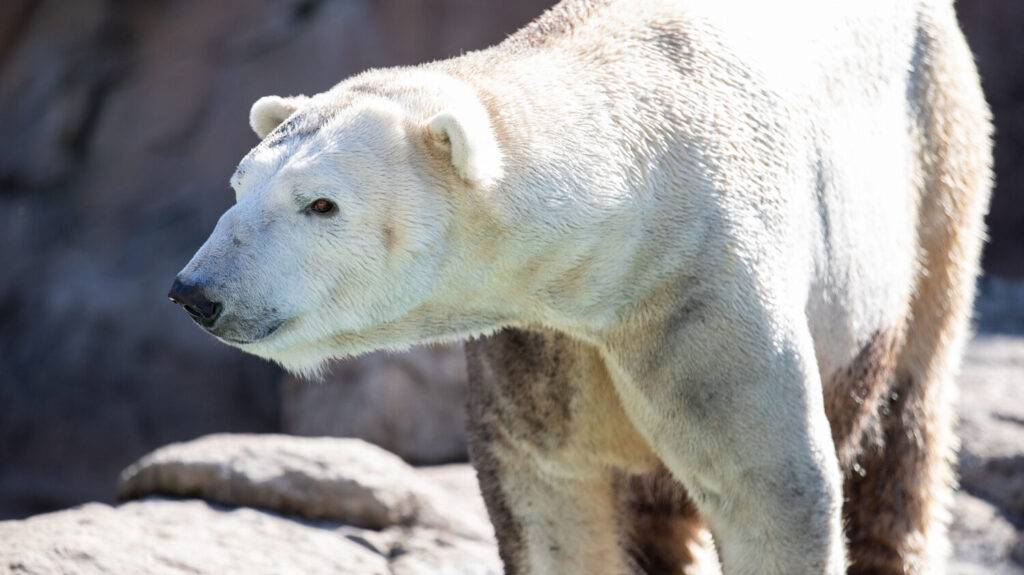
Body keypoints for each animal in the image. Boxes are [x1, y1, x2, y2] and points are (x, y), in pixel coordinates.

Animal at [170, 0, 992, 573]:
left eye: (321, 203)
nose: (196, 292)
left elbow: (771, 485)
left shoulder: (703, 287)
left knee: (903, 434)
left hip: (937, 173)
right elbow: (552, 493)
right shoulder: (544, 342)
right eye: (240, 186)